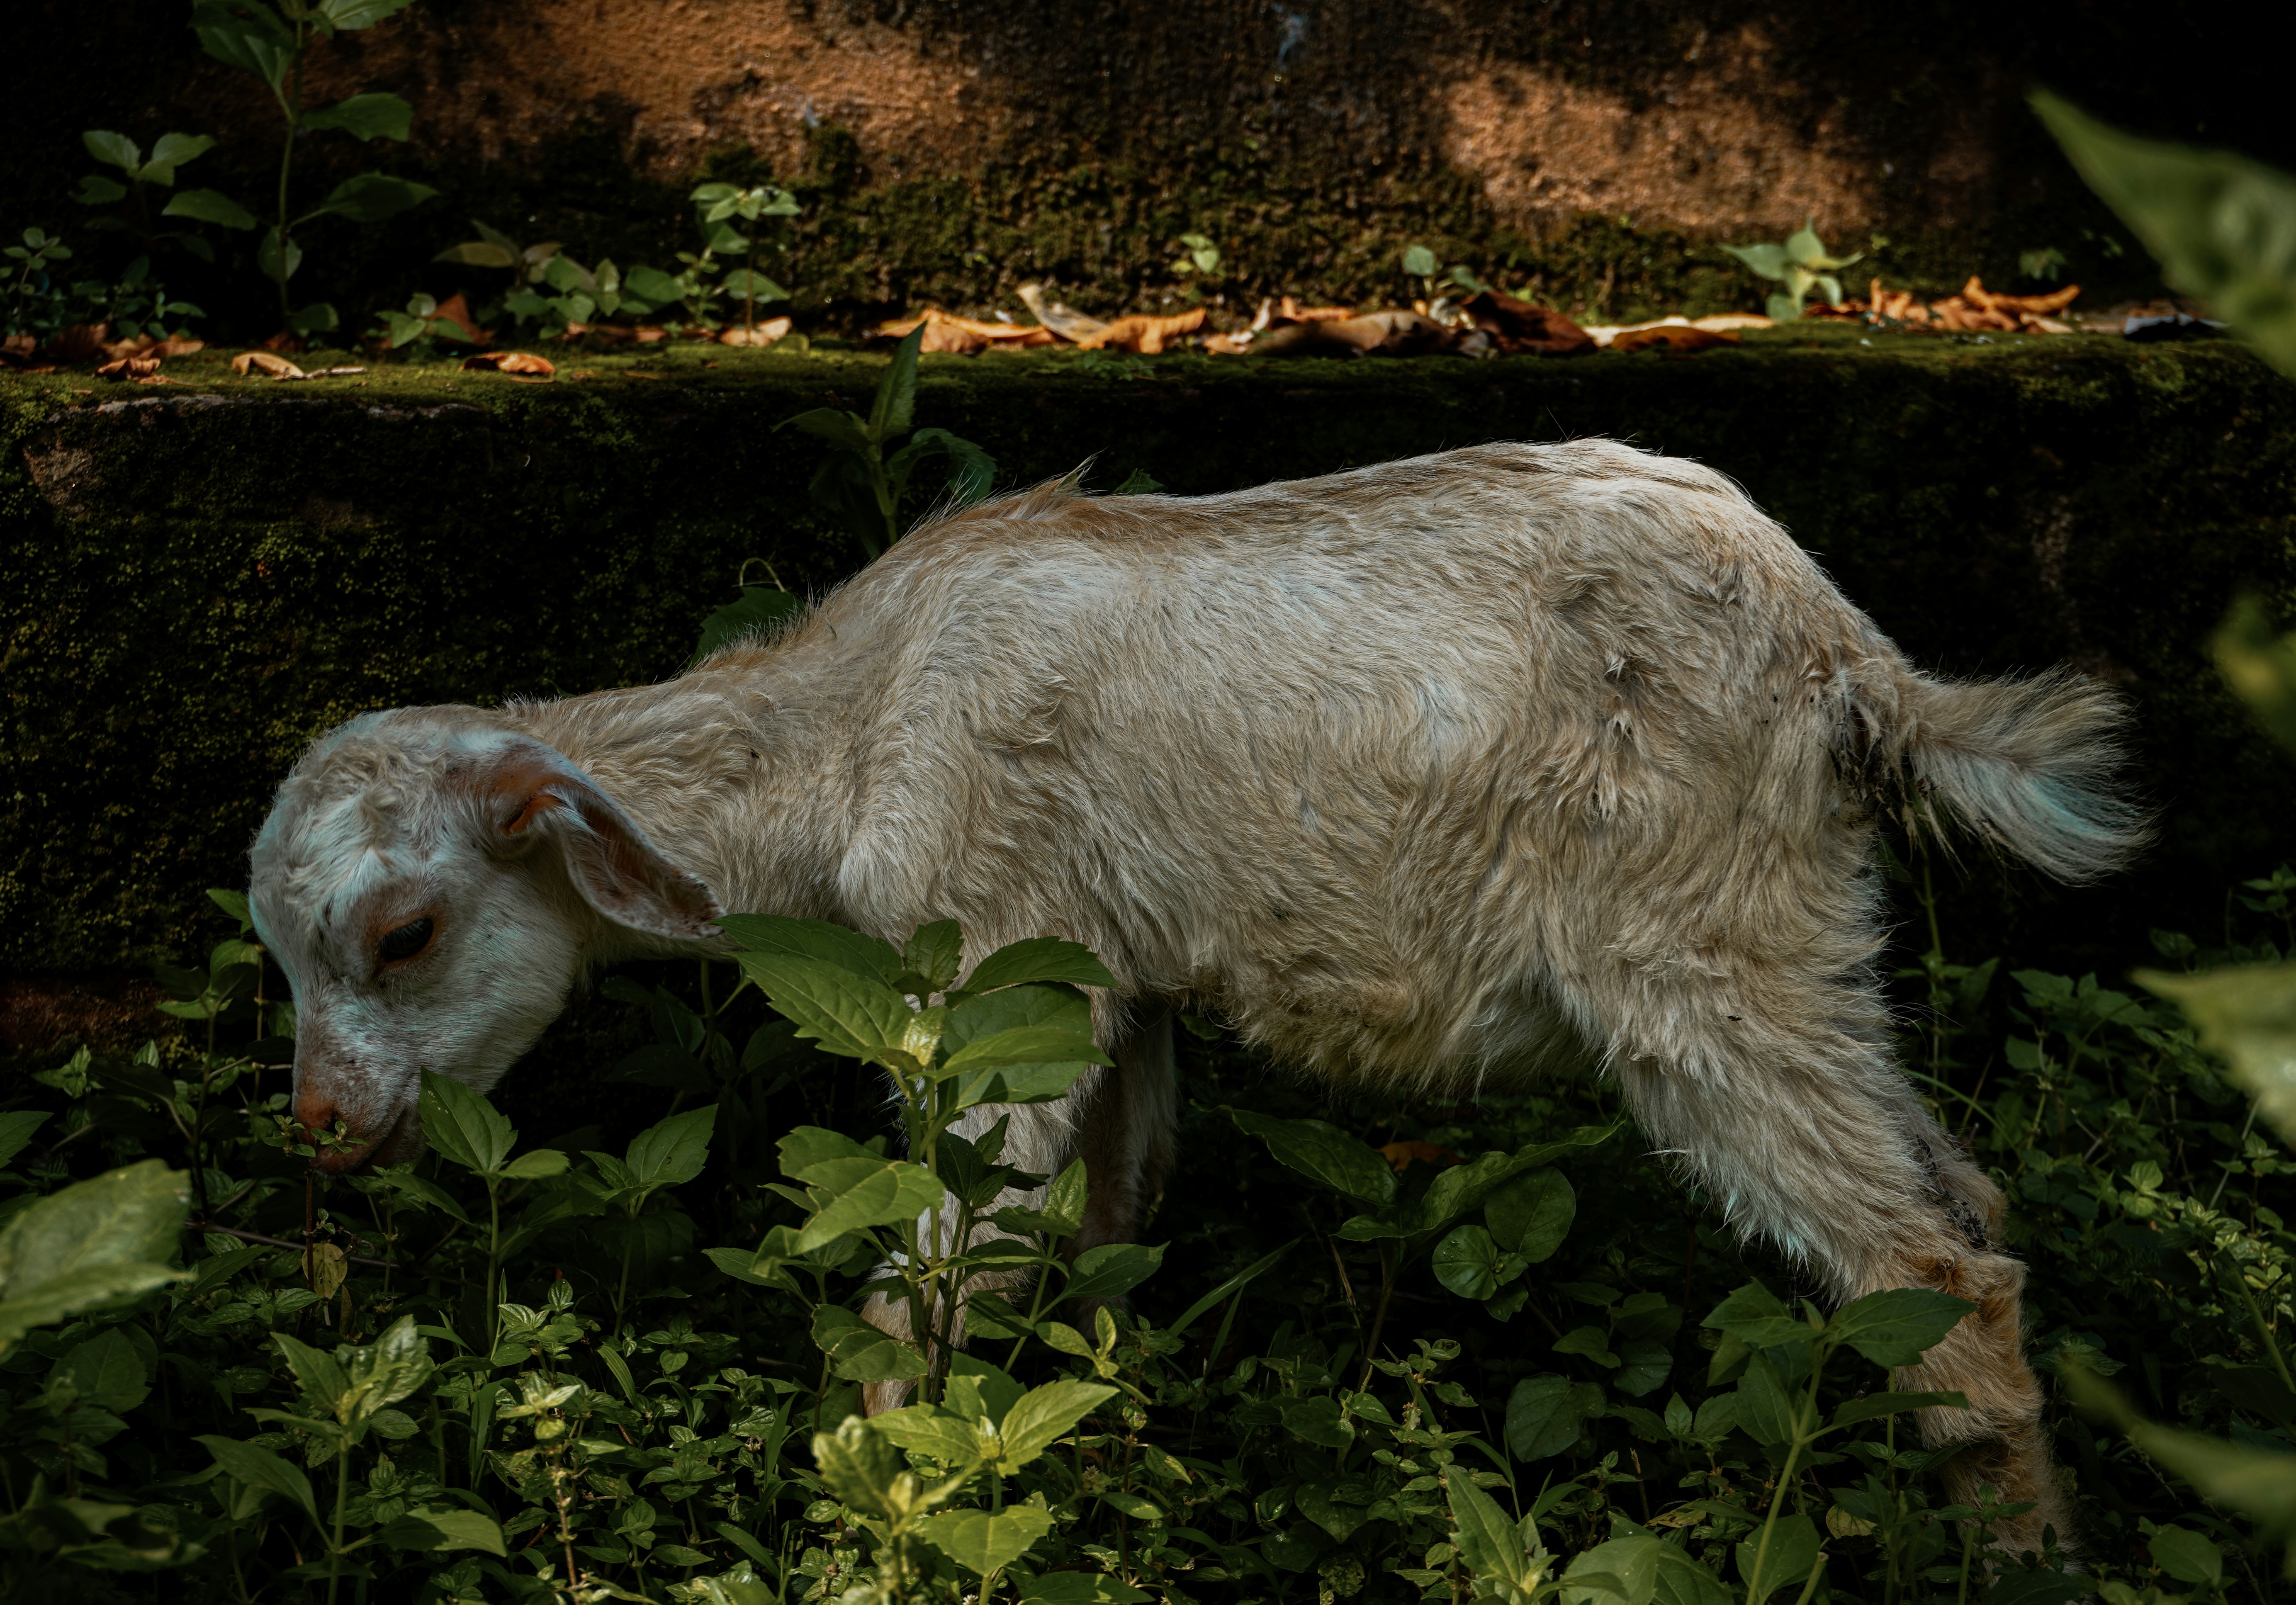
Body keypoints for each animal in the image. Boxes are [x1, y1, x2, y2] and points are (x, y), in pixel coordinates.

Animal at [248, 440, 2143, 1554]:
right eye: (279, 950)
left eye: (405, 931)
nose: (323, 1127)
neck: (855, 721)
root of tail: (1848, 660)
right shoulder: (1110, 975)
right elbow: (1099, 1238)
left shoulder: (993, 970)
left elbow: (937, 1283)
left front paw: (881, 1508)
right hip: (1798, 938)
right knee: (1967, 1199)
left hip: (1696, 950)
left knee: (1931, 1269)